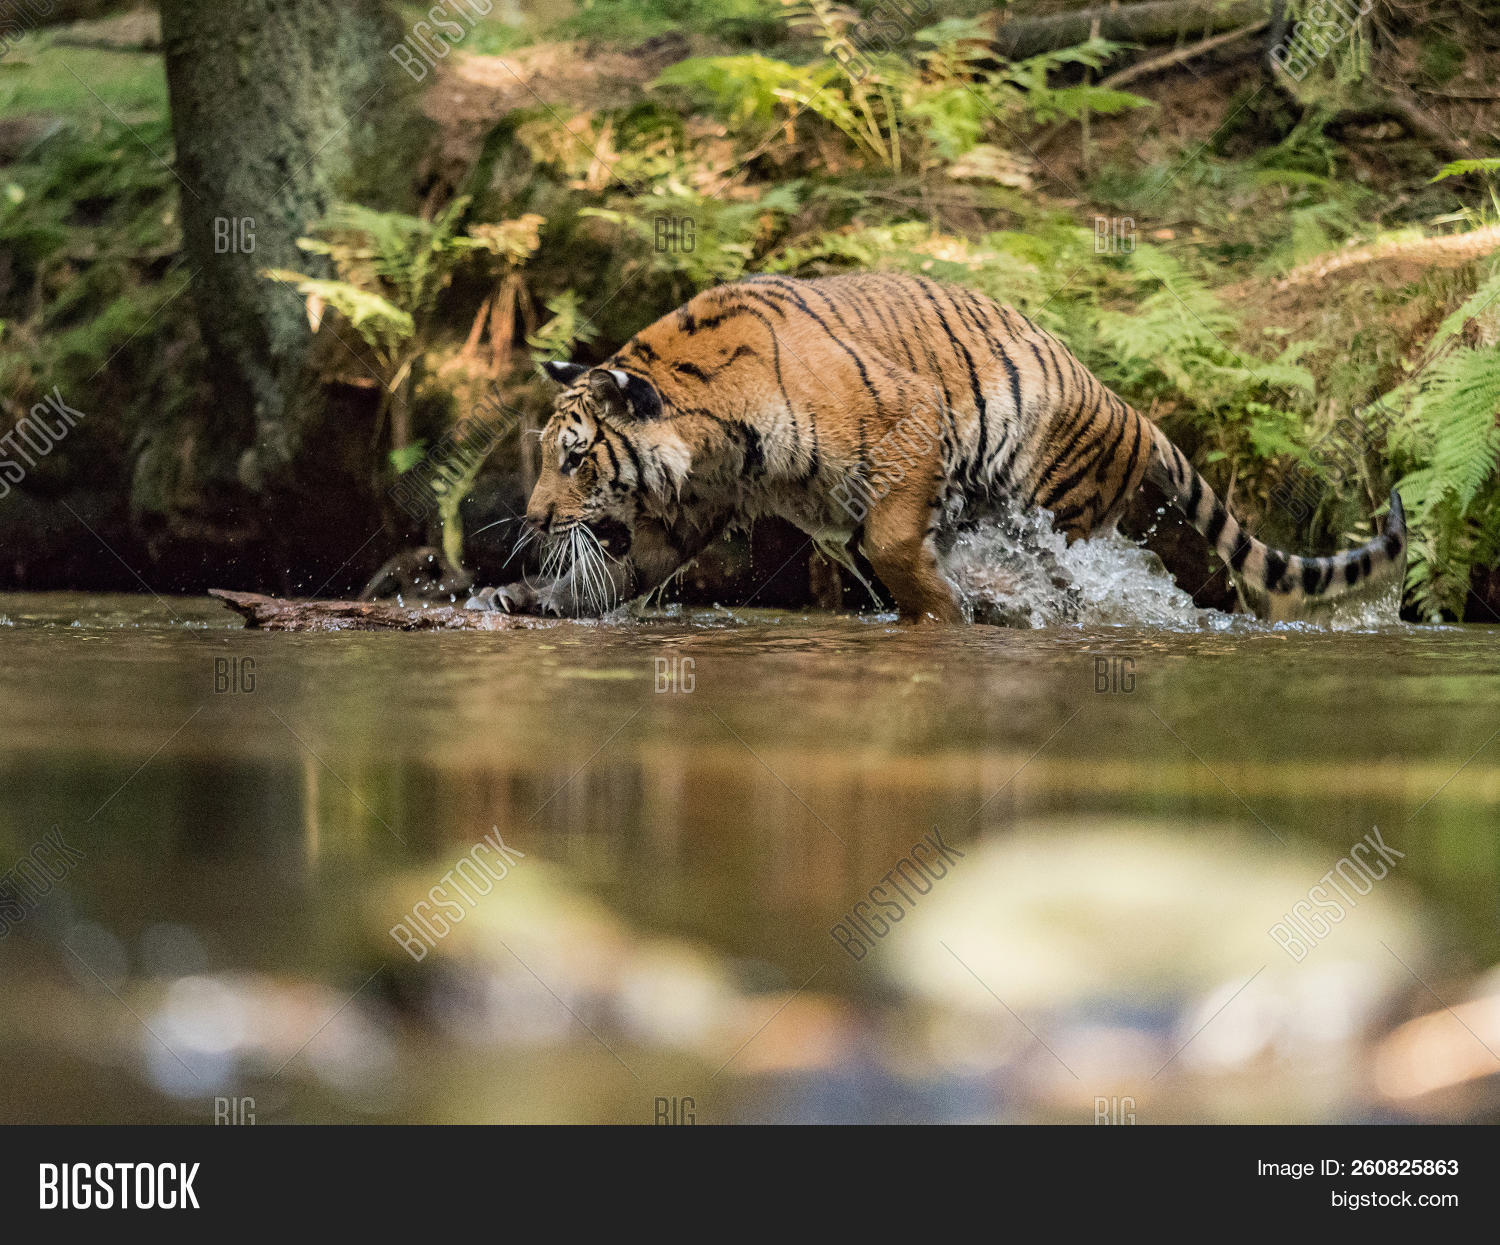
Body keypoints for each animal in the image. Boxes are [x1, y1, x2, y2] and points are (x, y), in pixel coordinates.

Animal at [465, 272, 1405, 623]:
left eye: (575, 458)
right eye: (549, 456)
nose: (534, 520)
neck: (709, 436)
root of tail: (1133, 409)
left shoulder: (910, 423)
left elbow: (891, 543)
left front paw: (940, 609)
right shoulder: (692, 508)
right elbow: (625, 567)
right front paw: (527, 596)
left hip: (1050, 506)